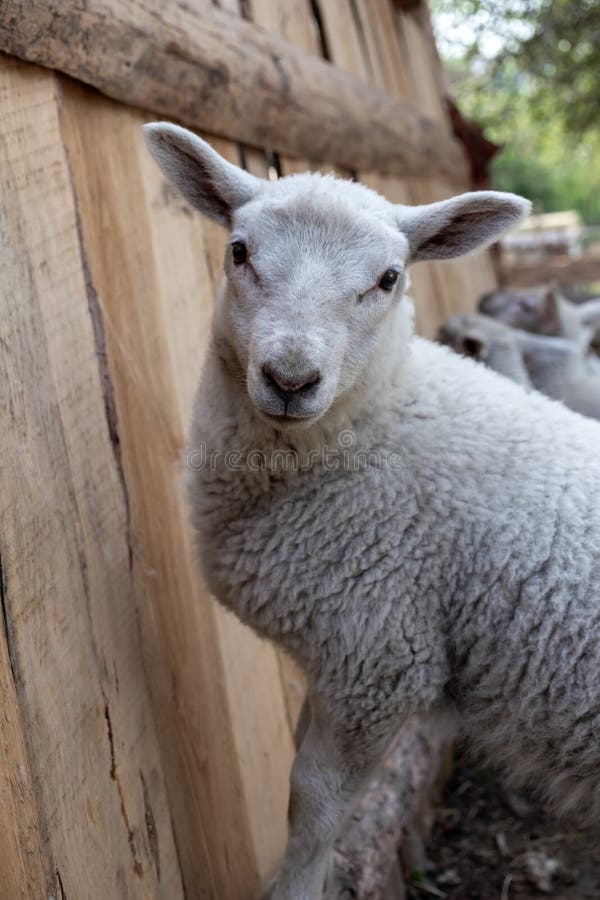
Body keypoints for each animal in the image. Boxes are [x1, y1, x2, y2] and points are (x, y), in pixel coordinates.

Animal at [144, 122, 600, 900]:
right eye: (239, 251)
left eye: (389, 278)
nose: (290, 378)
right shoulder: (335, 648)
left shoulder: (382, 655)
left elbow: (314, 804)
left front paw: (294, 891)